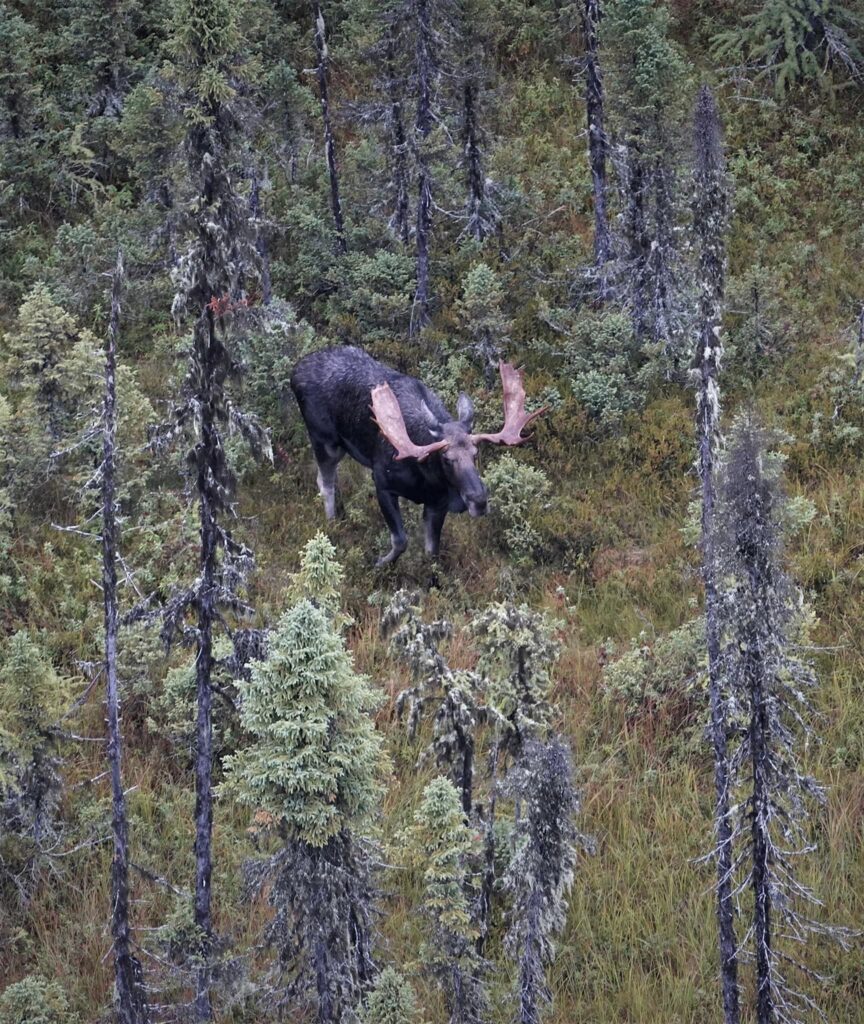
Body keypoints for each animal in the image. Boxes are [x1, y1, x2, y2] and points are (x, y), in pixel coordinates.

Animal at [290, 346, 545, 565]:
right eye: (446, 458)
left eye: (475, 453)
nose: (479, 501)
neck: (427, 478)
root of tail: (295, 371)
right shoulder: (382, 482)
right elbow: (400, 540)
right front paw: (380, 564)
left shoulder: (437, 504)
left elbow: (432, 553)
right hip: (324, 440)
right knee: (325, 483)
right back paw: (332, 526)